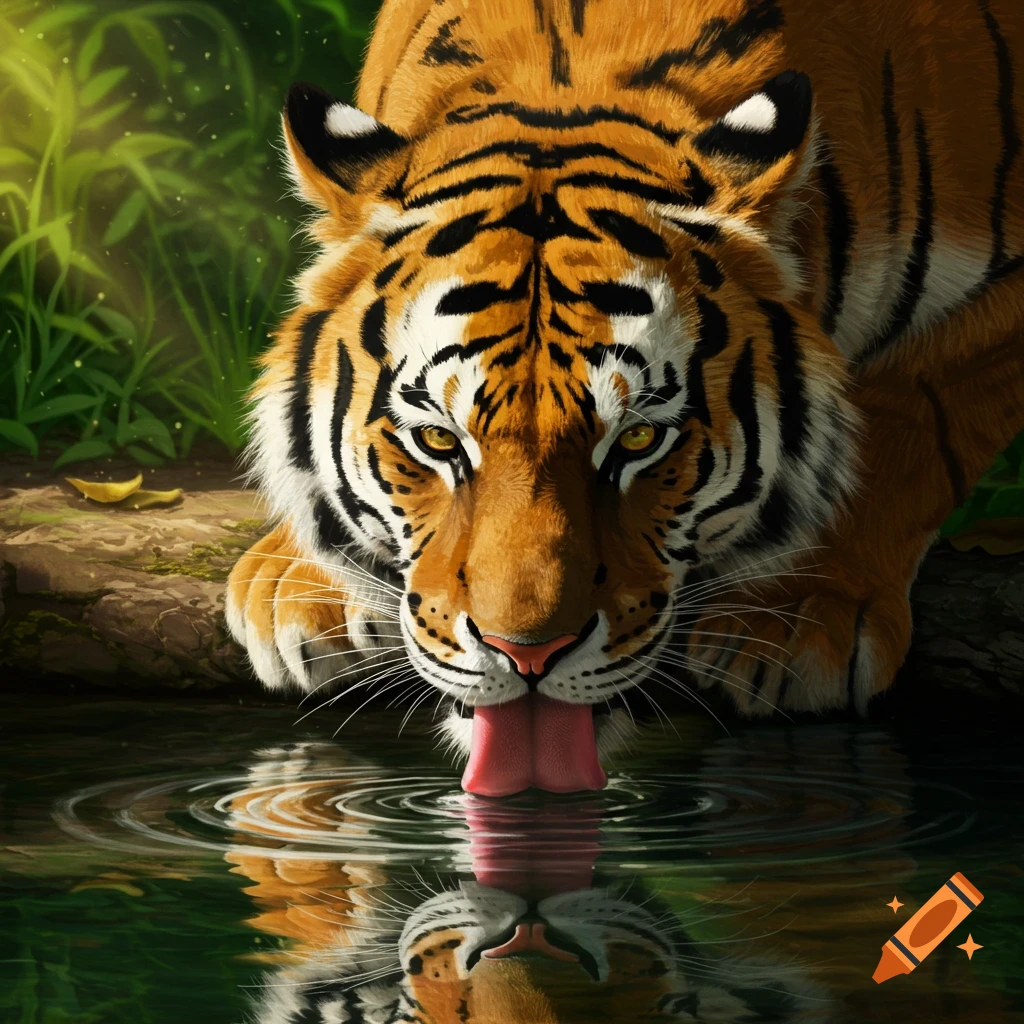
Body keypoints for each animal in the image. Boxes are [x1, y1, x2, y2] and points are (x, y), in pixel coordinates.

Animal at [226, 0, 1024, 795]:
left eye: (639, 439)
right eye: (439, 441)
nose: (528, 655)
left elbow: (908, 417)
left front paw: (794, 616)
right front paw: (301, 584)